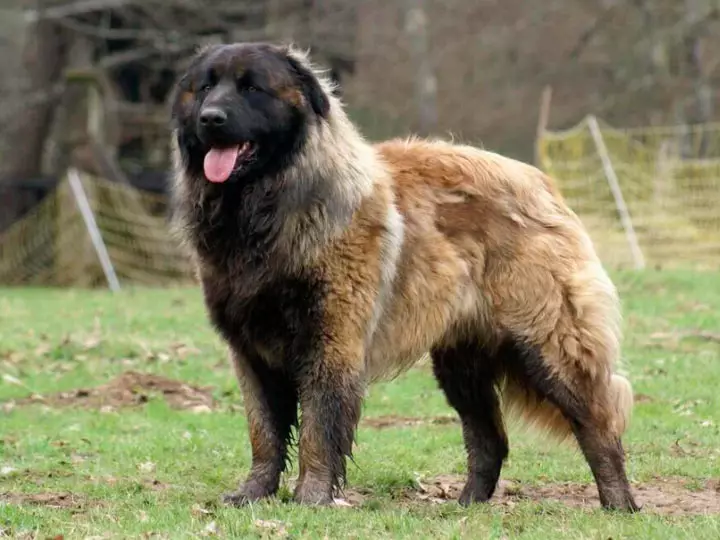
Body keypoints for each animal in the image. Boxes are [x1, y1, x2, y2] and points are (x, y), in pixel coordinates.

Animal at [170, 42, 640, 510]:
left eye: (252, 88)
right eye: (205, 87)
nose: (211, 118)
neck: (264, 209)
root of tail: (540, 181)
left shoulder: (331, 341)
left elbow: (317, 429)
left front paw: (312, 497)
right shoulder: (251, 352)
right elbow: (263, 431)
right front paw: (254, 493)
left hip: (546, 346)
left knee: (598, 423)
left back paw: (619, 503)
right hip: (461, 364)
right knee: (490, 439)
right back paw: (466, 504)